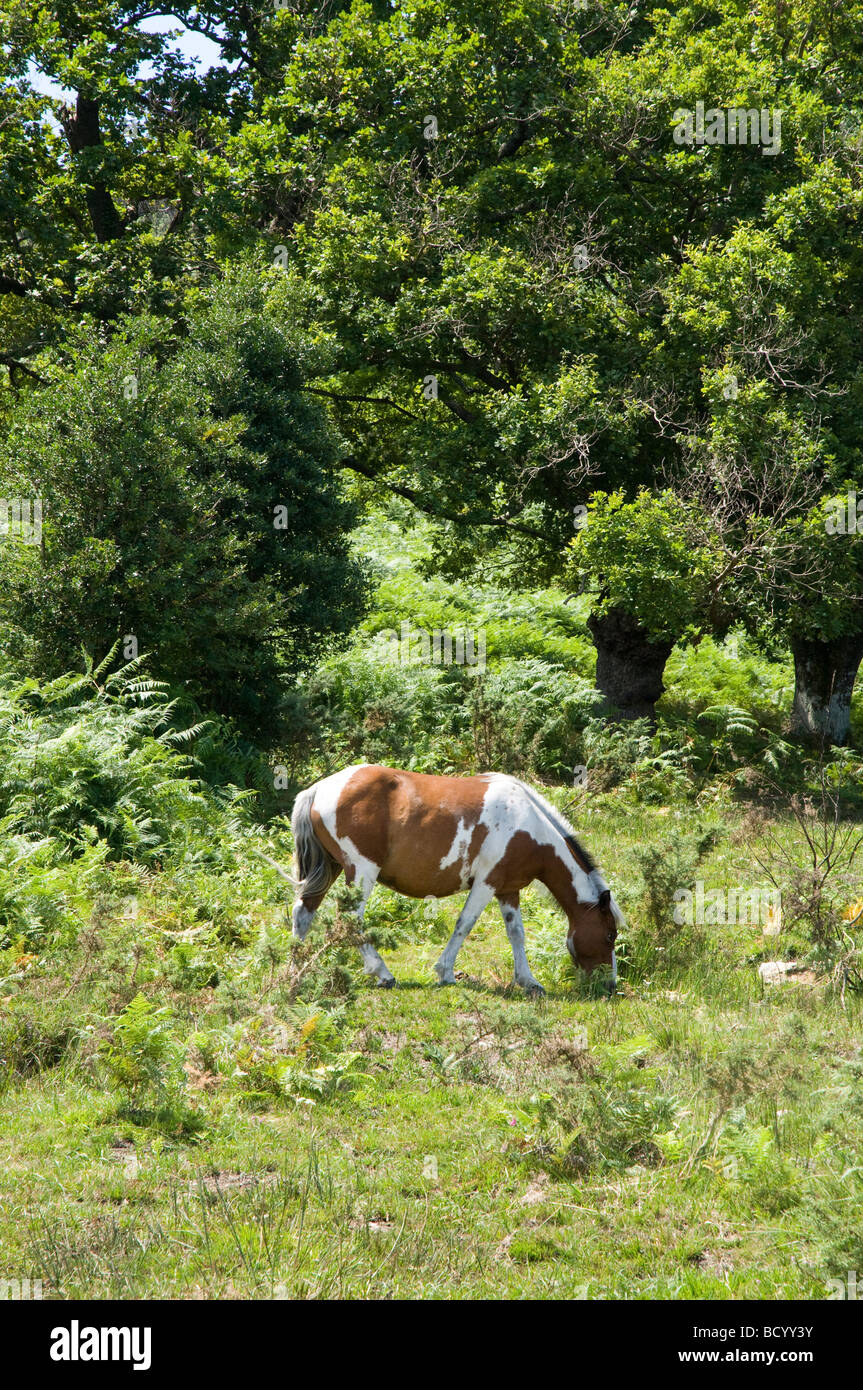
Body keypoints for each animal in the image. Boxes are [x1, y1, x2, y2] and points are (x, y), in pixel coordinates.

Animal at [288, 764, 624, 995]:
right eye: (610, 935)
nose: (610, 985)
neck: (527, 824)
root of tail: (318, 790)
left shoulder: (508, 889)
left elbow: (516, 933)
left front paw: (528, 981)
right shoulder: (487, 884)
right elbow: (464, 924)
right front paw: (445, 972)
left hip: (331, 868)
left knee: (304, 912)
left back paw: (296, 971)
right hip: (361, 872)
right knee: (351, 920)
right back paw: (382, 973)